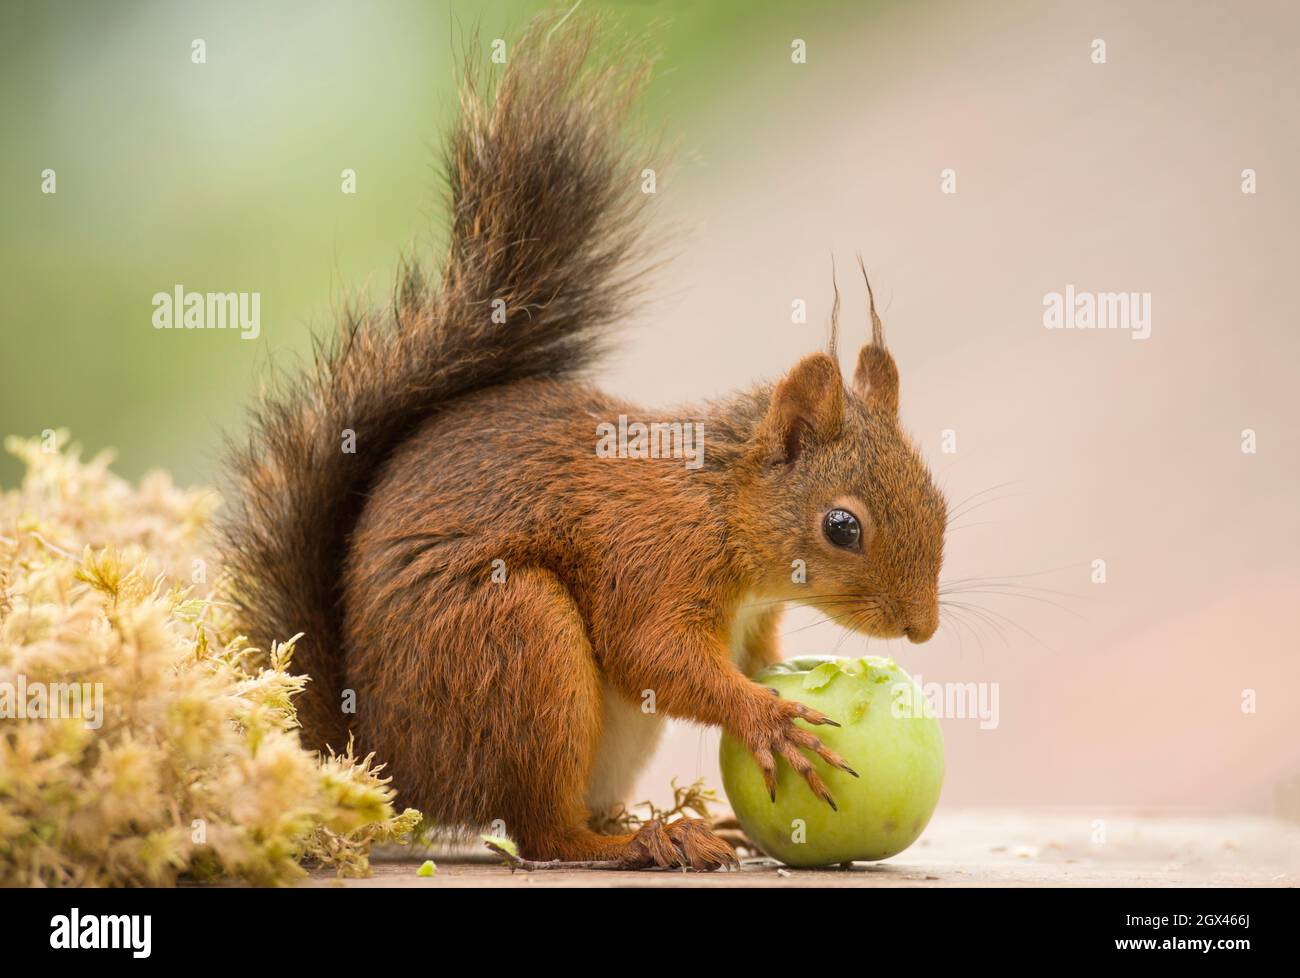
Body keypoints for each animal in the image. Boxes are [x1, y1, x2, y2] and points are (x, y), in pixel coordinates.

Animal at [221, 13, 947, 872]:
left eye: (940, 501)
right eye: (842, 527)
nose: (923, 627)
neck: (721, 504)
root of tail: (388, 763)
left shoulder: (746, 619)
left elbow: (747, 660)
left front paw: (773, 688)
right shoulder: (651, 557)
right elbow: (653, 653)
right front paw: (766, 718)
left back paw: (678, 825)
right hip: (519, 644)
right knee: (542, 832)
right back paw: (645, 840)